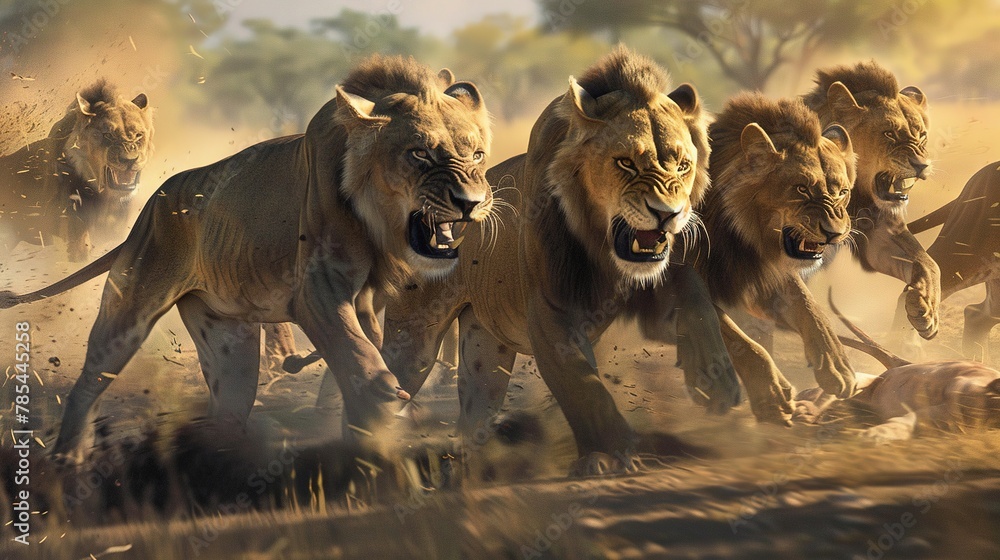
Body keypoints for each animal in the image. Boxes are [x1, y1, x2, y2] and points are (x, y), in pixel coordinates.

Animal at [378, 48, 741, 476]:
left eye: (683, 165)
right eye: (626, 163)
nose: (668, 213)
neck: (606, 250)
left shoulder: (661, 287)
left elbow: (700, 307)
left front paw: (718, 381)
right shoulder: (551, 312)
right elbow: (584, 388)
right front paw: (610, 455)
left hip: (484, 348)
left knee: (474, 414)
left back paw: (480, 472)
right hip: (413, 338)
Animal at [691, 93, 858, 424]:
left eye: (842, 192)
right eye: (802, 189)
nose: (834, 233)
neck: (740, 237)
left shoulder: (762, 274)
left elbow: (809, 307)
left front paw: (837, 366)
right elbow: (733, 336)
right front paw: (771, 395)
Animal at [803, 61, 937, 339]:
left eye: (921, 135)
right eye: (889, 134)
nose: (922, 165)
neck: (856, 201)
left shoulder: (878, 234)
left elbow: (928, 262)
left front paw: (923, 310)